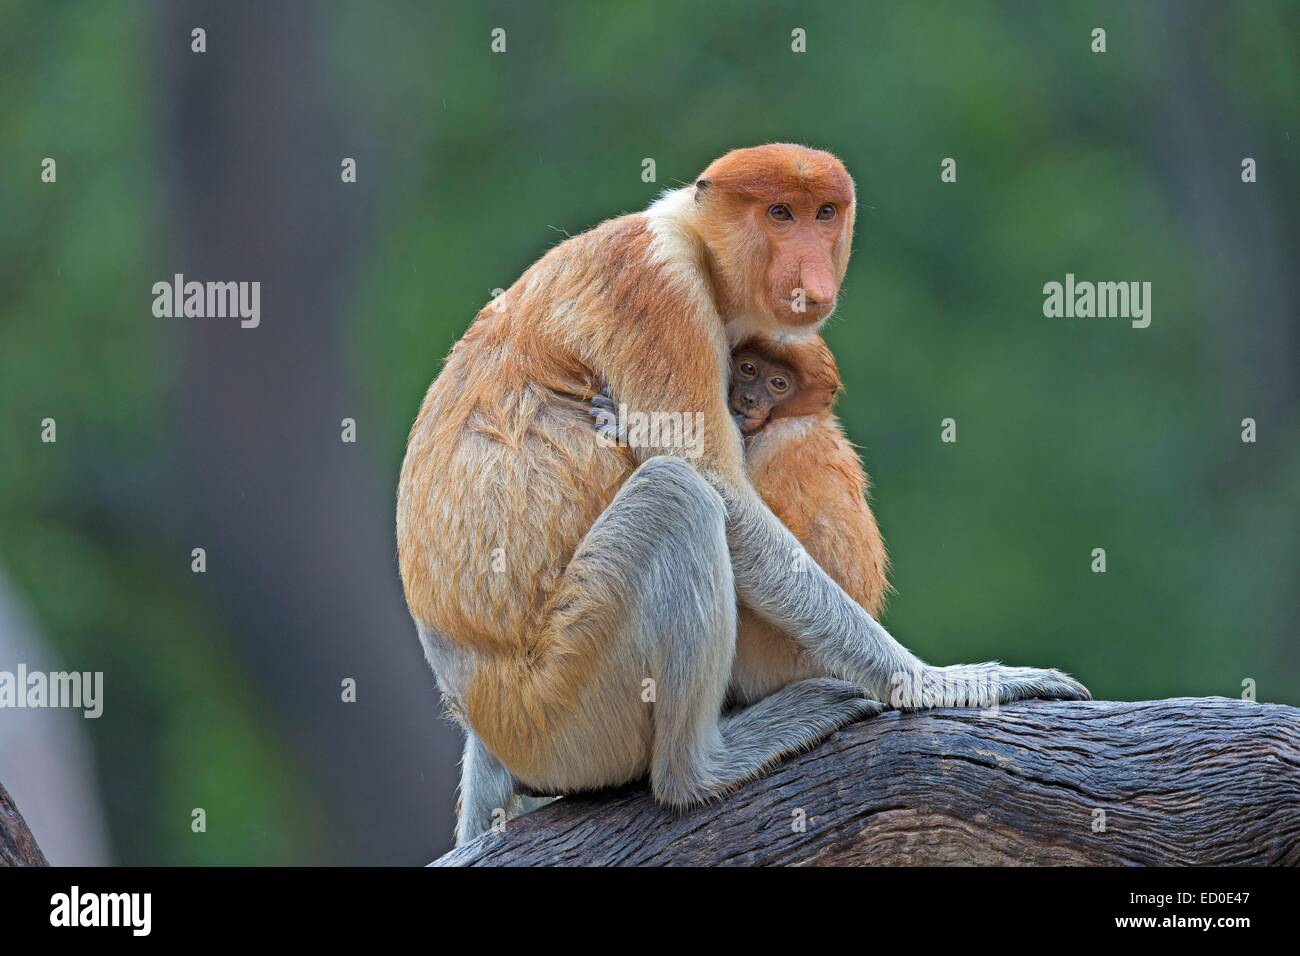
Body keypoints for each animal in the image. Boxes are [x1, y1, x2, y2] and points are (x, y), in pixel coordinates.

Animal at [397, 143, 1089, 846]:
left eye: (825, 213)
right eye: (780, 213)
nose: (811, 274)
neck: (692, 241)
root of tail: (479, 707)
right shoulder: (659, 294)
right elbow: (720, 494)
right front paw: (933, 683)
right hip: (563, 710)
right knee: (676, 496)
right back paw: (704, 769)